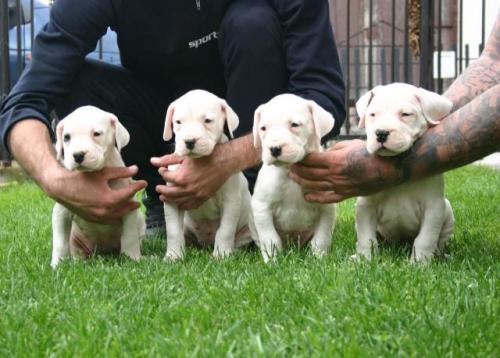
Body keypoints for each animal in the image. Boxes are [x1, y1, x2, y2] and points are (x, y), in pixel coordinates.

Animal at [50, 106, 144, 268]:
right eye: (66, 137)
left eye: (96, 134)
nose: (78, 155)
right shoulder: (61, 211)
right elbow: (60, 241)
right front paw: (57, 265)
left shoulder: (129, 206)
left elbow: (130, 235)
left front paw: (133, 258)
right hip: (77, 241)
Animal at [162, 88, 252, 258]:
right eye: (178, 122)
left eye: (208, 121)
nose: (189, 141)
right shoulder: (171, 198)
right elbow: (173, 231)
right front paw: (173, 256)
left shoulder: (231, 201)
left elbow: (225, 230)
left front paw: (221, 255)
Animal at [250, 94, 336, 262]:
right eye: (263, 128)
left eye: (294, 125)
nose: (274, 149)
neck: (288, 171)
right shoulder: (262, 207)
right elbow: (270, 239)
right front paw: (272, 261)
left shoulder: (326, 208)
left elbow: (321, 238)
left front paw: (319, 258)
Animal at [354, 84, 456, 262]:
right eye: (372, 115)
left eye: (406, 114)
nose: (381, 133)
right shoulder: (365, 206)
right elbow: (366, 237)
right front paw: (364, 259)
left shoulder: (434, 208)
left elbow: (426, 238)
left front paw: (419, 262)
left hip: (447, 210)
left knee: (441, 240)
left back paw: (441, 255)